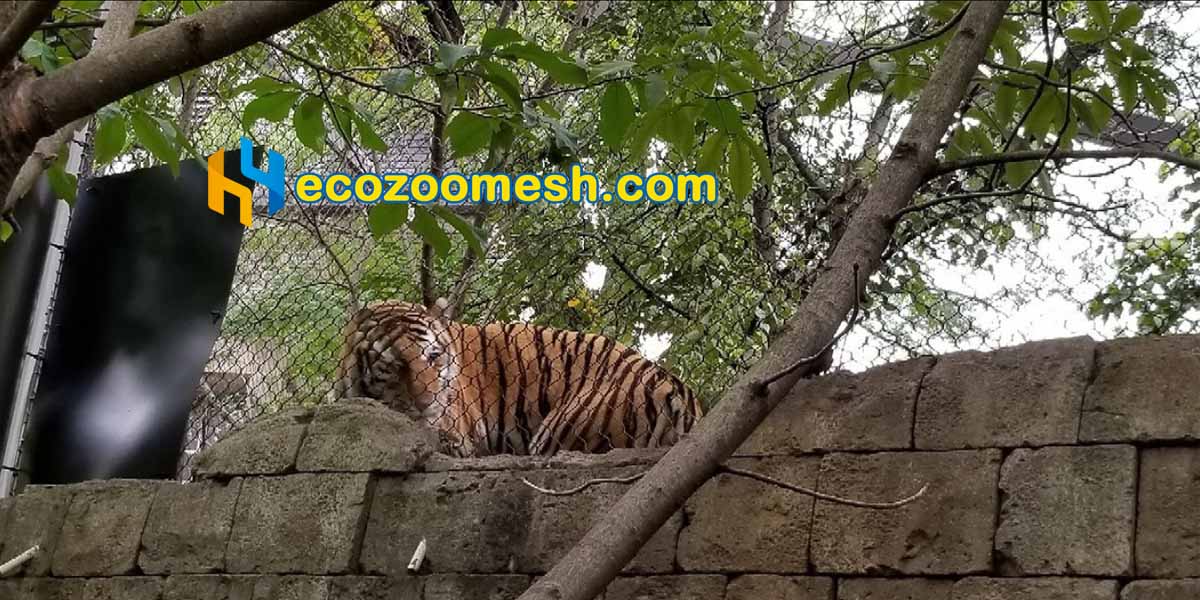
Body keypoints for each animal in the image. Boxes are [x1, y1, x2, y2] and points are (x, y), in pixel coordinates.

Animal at [333, 300, 704, 457]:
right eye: (396, 366)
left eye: (433, 357)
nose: (427, 404)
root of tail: (682, 395)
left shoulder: (460, 434)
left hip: (563, 429)